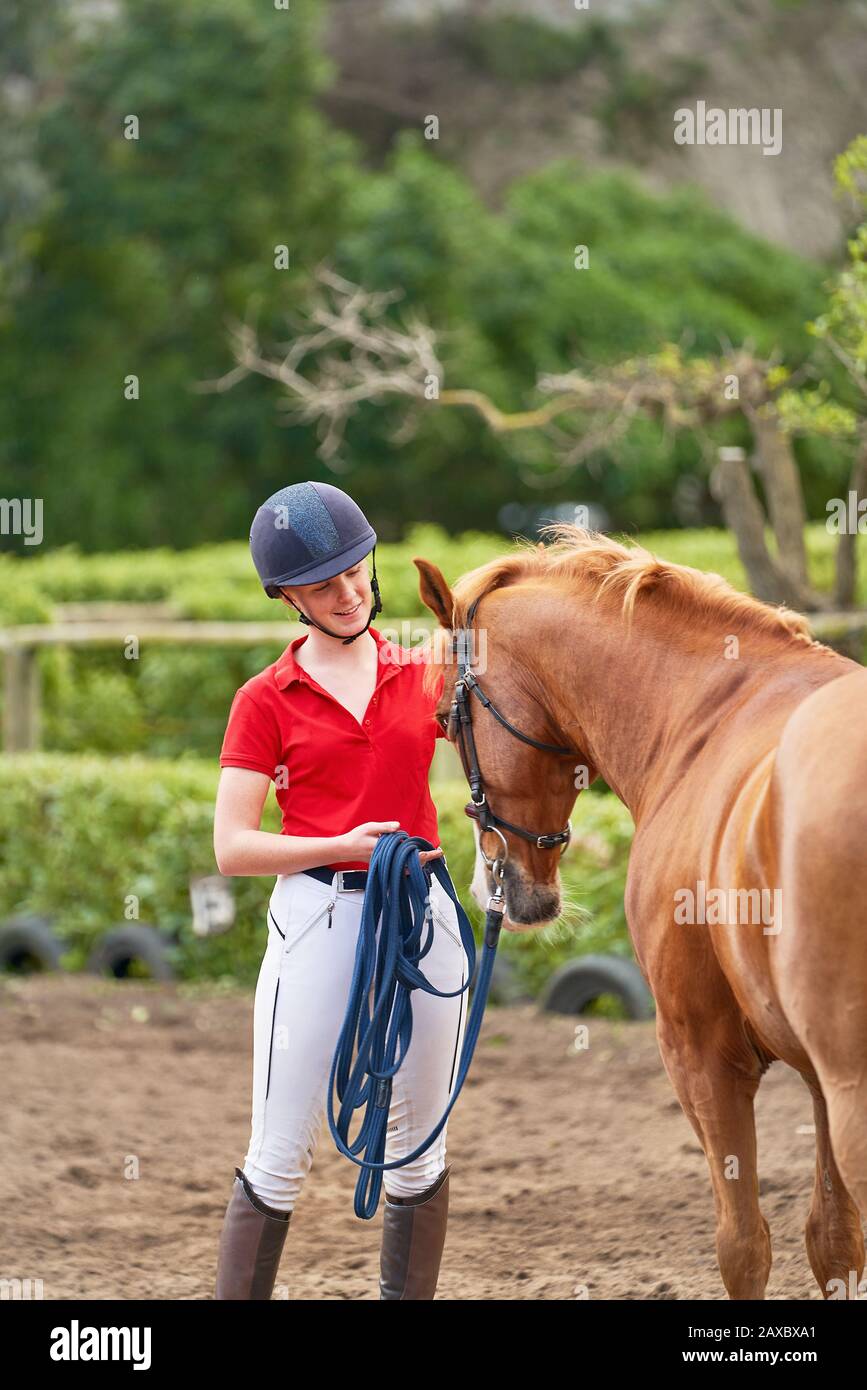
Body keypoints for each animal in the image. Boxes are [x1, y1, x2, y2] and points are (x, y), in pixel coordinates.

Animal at [414, 524, 867, 1300]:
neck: (705, 717)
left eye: (448, 720)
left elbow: (742, 1245)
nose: (491, 883)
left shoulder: (702, 1051)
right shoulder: (812, 1080)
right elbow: (833, 1242)